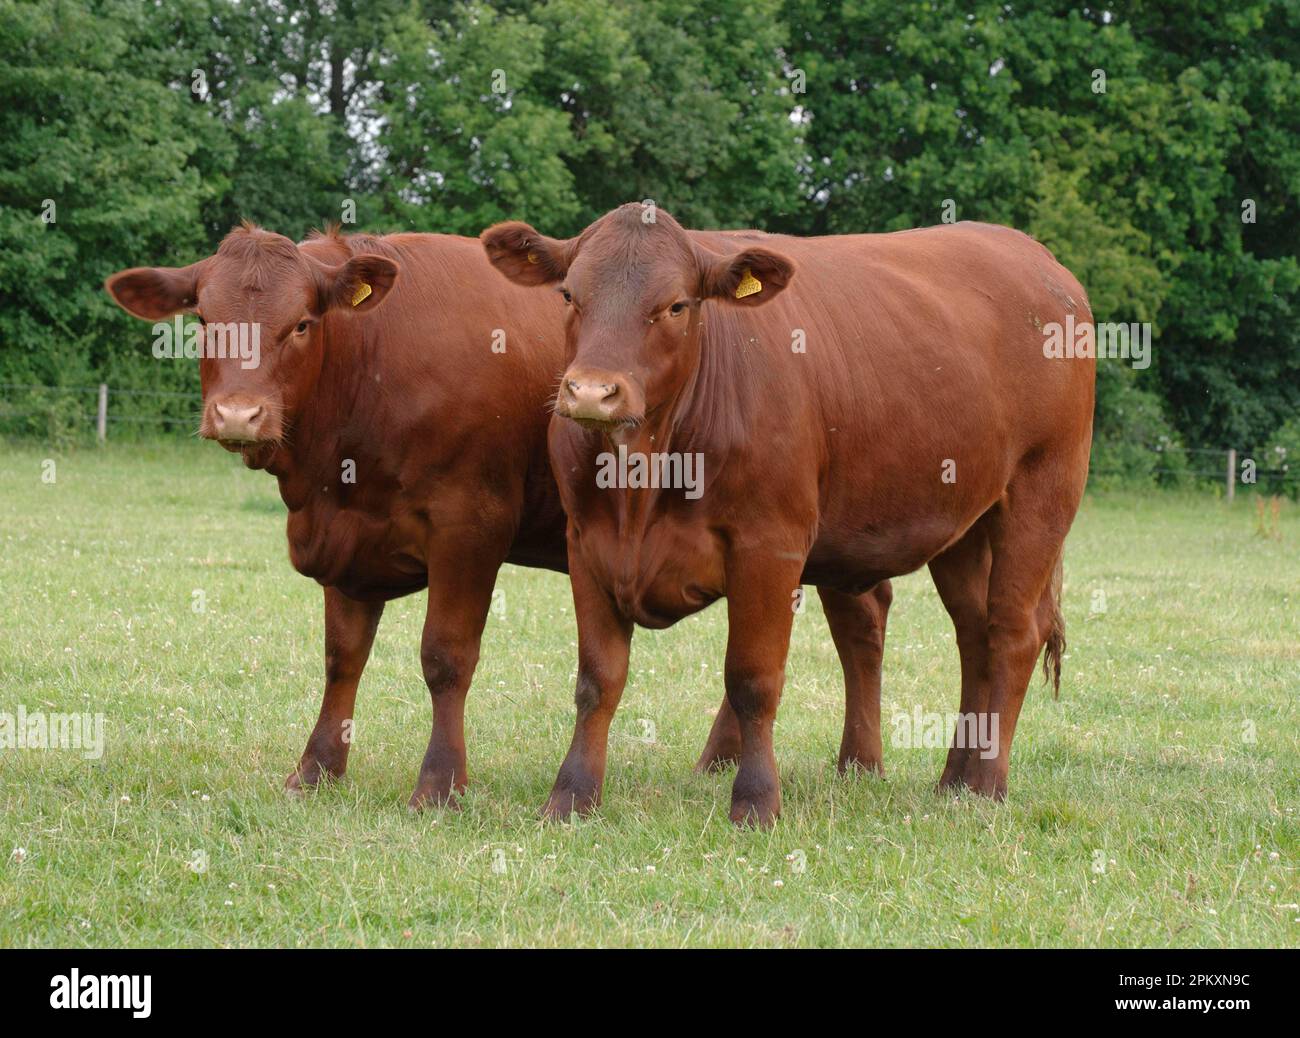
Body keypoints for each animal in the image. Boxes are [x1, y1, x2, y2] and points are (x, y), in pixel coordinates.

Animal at [104, 224, 894, 809]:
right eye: (206, 322)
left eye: (301, 324)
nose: (239, 414)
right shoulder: (346, 536)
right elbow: (341, 659)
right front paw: (316, 770)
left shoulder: (469, 524)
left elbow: (446, 656)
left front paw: (439, 785)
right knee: (849, 618)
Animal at [482, 203, 1094, 826]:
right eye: (568, 295)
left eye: (676, 305)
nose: (590, 392)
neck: (643, 483)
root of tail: (1034, 256)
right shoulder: (587, 543)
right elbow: (597, 679)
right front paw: (571, 797)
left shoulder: (768, 546)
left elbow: (752, 679)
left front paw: (755, 802)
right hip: (963, 521)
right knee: (973, 634)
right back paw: (955, 780)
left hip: (1043, 490)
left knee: (1013, 632)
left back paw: (988, 783)